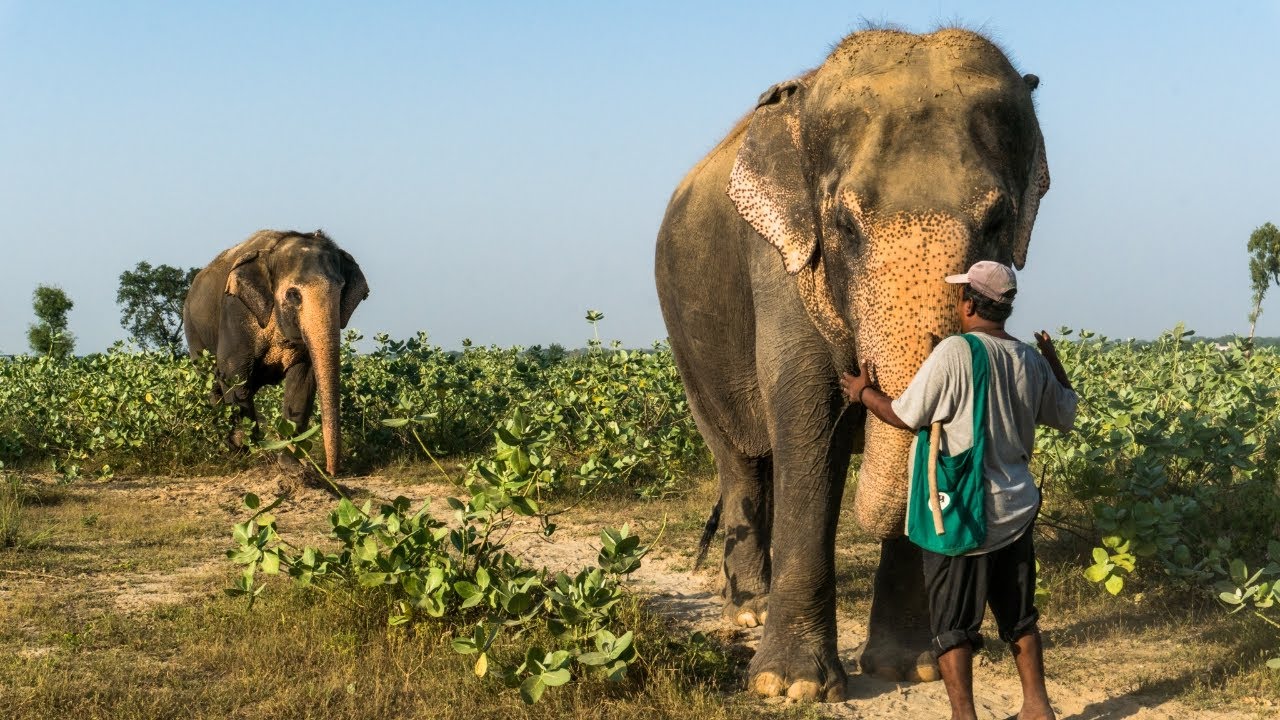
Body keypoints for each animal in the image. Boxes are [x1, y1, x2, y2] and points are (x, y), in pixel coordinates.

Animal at [183, 229, 369, 477]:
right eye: (293, 295)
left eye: (340, 292)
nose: (331, 472)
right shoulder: (235, 311)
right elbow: (233, 374)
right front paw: (259, 458)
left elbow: (303, 380)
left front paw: (289, 462)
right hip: (193, 331)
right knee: (214, 386)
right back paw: (232, 453)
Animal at [655, 29, 1049, 701]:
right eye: (842, 224)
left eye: (998, 222)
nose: (864, 381)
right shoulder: (781, 265)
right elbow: (808, 422)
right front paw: (791, 687)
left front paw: (909, 668)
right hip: (689, 341)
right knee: (741, 461)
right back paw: (749, 611)